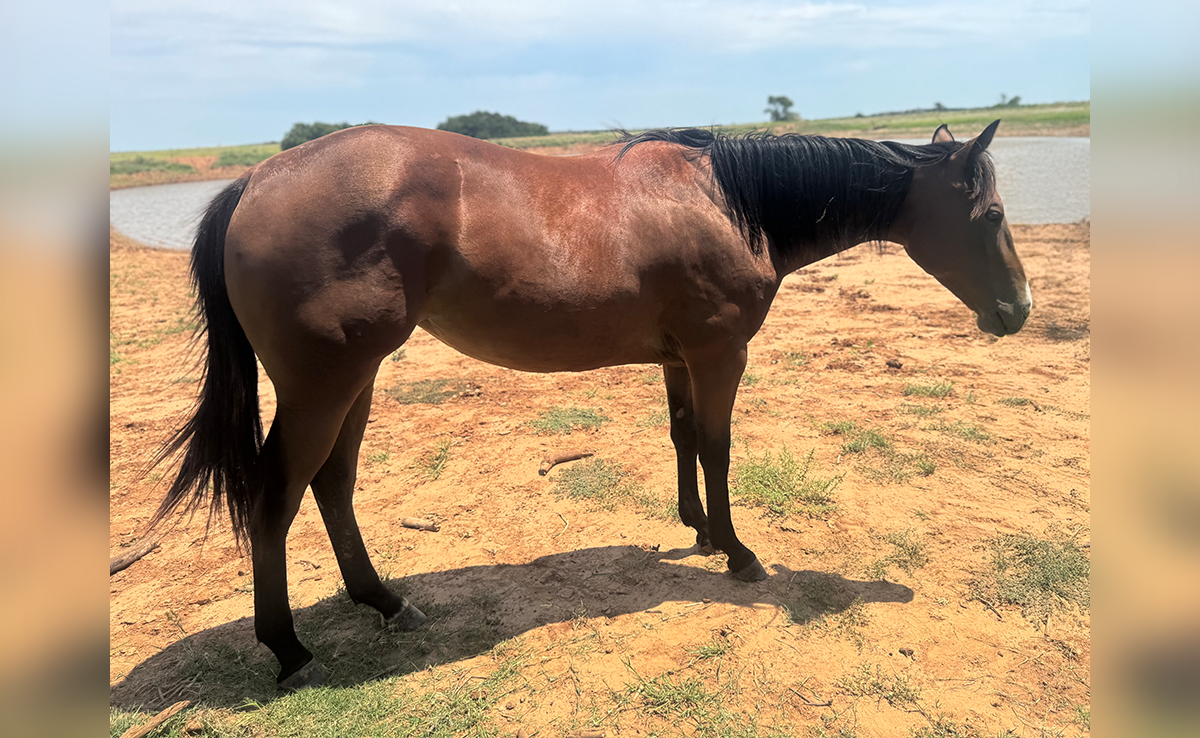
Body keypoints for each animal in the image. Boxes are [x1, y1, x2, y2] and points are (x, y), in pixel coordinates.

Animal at [151, 119, 1030, 690]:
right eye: (989, 214)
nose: (1017, 310)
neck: (727, 203)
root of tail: (257, 179)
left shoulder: (680, 359)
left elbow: (683, 438)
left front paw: (699, 531)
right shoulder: (720, 354)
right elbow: (718, 447)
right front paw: (737, 552)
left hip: (355, 381)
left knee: (332, 485)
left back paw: (386, 602)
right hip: (322, 385)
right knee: (275, 500)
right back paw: (289, 650)